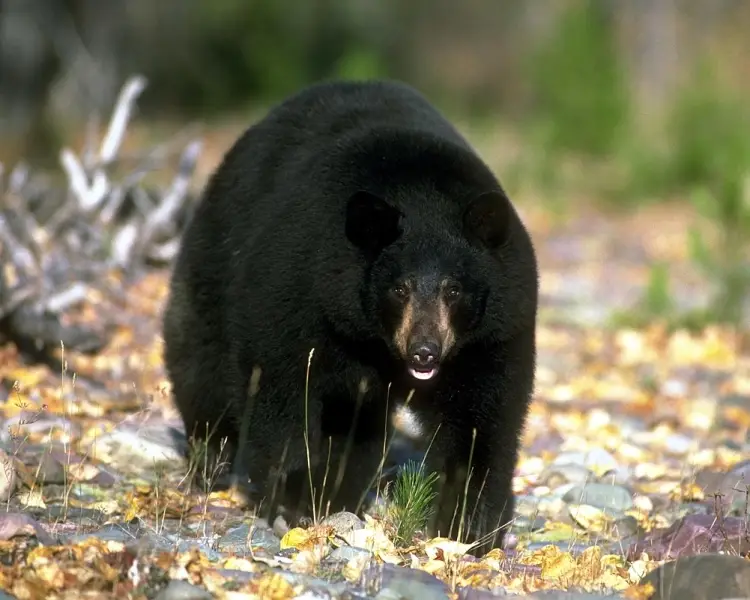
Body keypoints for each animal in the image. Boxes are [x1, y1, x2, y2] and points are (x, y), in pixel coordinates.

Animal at [162, 79, 538, 555]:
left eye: (454, 289)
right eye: (399, 288)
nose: (425, 352)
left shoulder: (492, 333)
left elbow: (481, 418)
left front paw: (466, 526)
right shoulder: (303, 292)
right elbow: (283, 389)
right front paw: (297, 499)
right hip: (215, 260)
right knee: (201, 365)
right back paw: (210, 463)